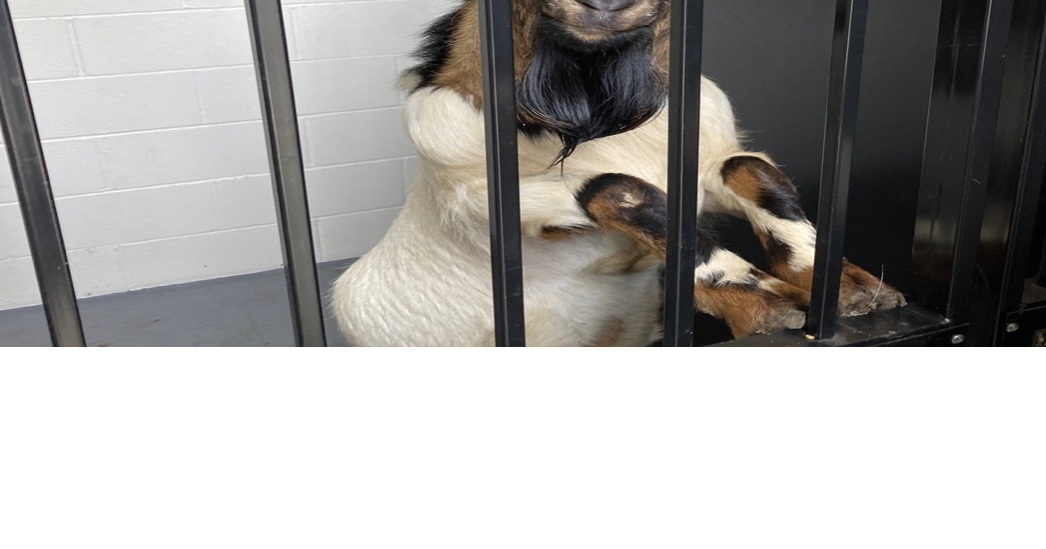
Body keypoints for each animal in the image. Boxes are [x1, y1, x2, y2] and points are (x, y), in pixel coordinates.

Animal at [332, 0, 906, 347]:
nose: (604, 5)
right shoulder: (499, 201)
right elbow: (618, 189)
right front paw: (765, 303)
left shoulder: (707, 162)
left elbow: (754, 172)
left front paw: (849, 286)